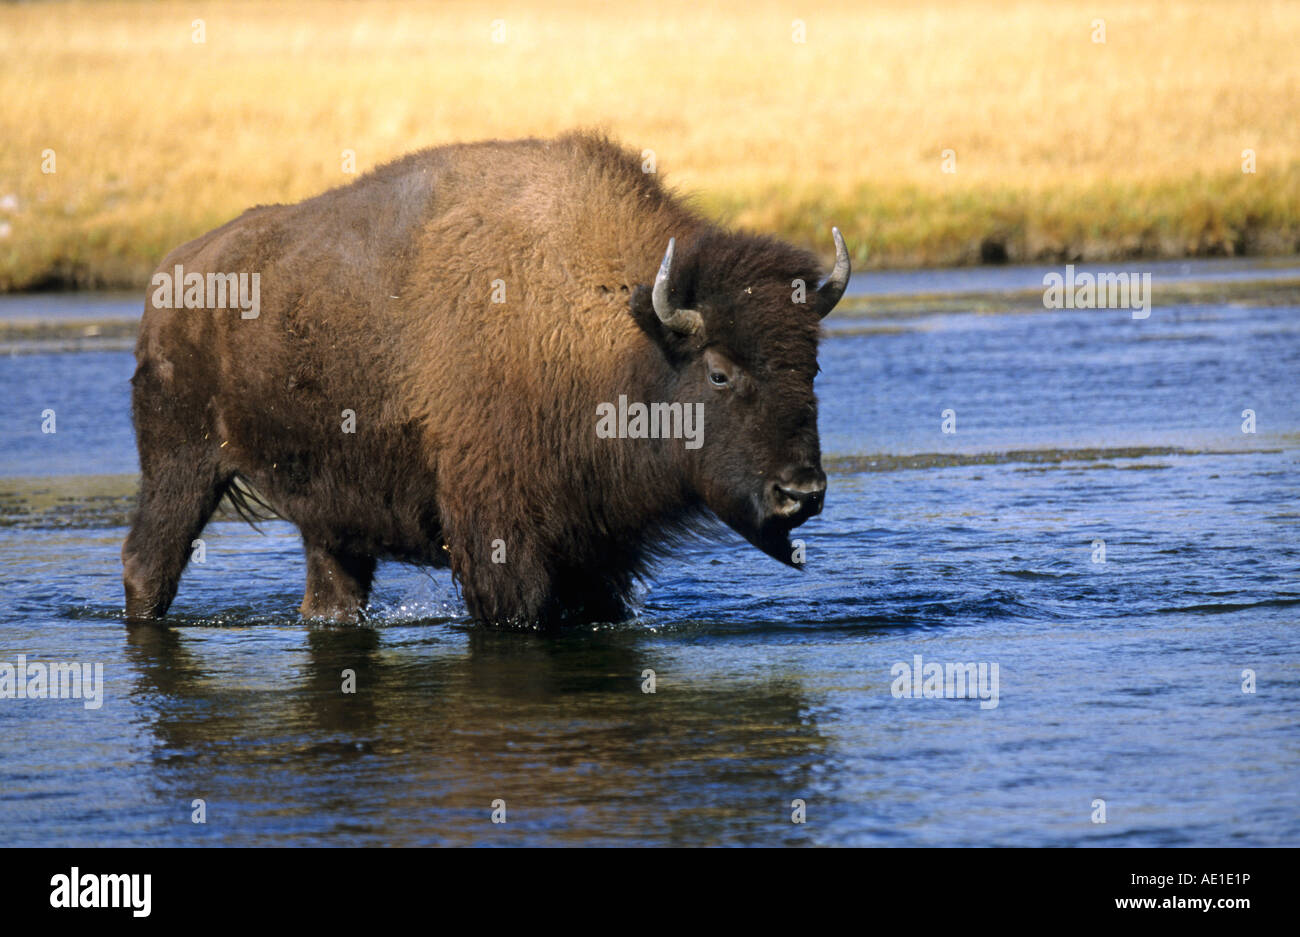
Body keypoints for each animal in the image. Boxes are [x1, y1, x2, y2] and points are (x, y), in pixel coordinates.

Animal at [123, 131, 850, 626]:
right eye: (720, 372)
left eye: (812, 365)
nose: (801, 491)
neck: (619, 331)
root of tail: (173, 274)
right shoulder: (501, 541)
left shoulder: (598, 553)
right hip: (182, 466)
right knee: (147, 563)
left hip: (328, 522)